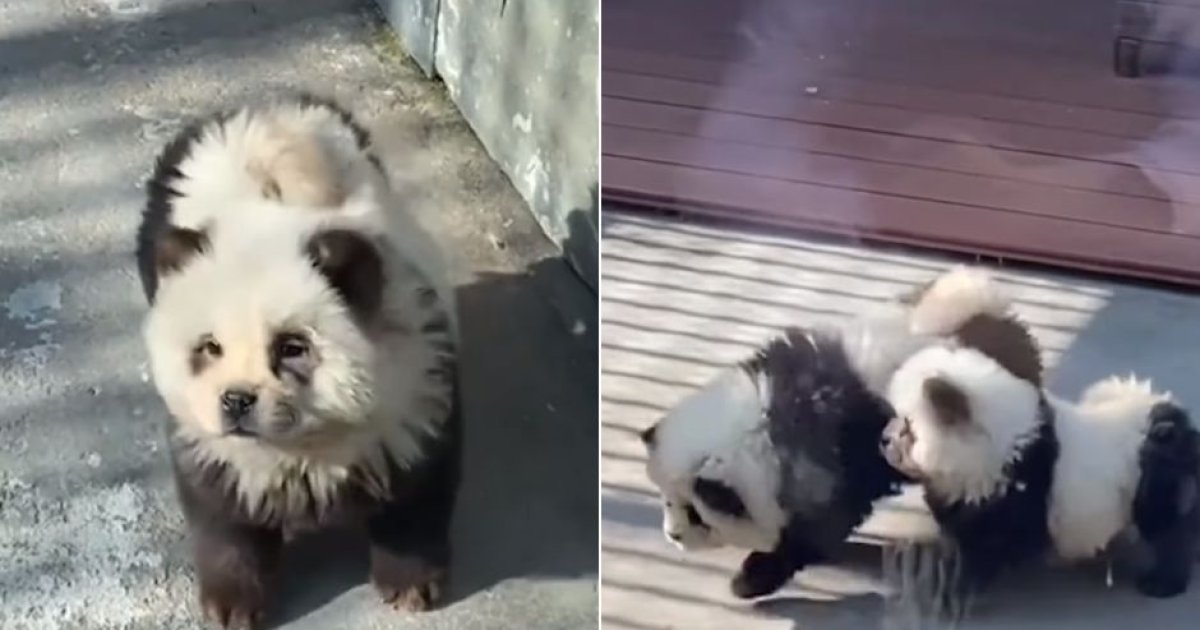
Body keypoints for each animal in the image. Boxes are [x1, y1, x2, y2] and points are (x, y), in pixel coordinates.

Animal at [136, 93, 459, 628]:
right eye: (209, 347)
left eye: (291, 347)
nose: (236, 401)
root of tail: (266, 114)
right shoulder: (209, 442)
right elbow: (223, 516)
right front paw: (232, 604)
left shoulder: (412, 396)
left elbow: (417, 493)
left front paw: (411, 586)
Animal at [639, 266, 1025, 599]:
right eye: (667, 500)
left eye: (697, 513)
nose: (673, 535)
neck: (759, 425)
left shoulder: (827, 463)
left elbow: (818, 528)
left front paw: (753, 577)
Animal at [881, 341, 1200, 601]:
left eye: (907, 427)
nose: (883, 440)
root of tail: (1178, 424)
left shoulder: (1012, 487)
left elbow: (986, 546)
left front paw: (952, 588)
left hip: (1154, 479)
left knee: (1167, 530)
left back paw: (1162, 582)